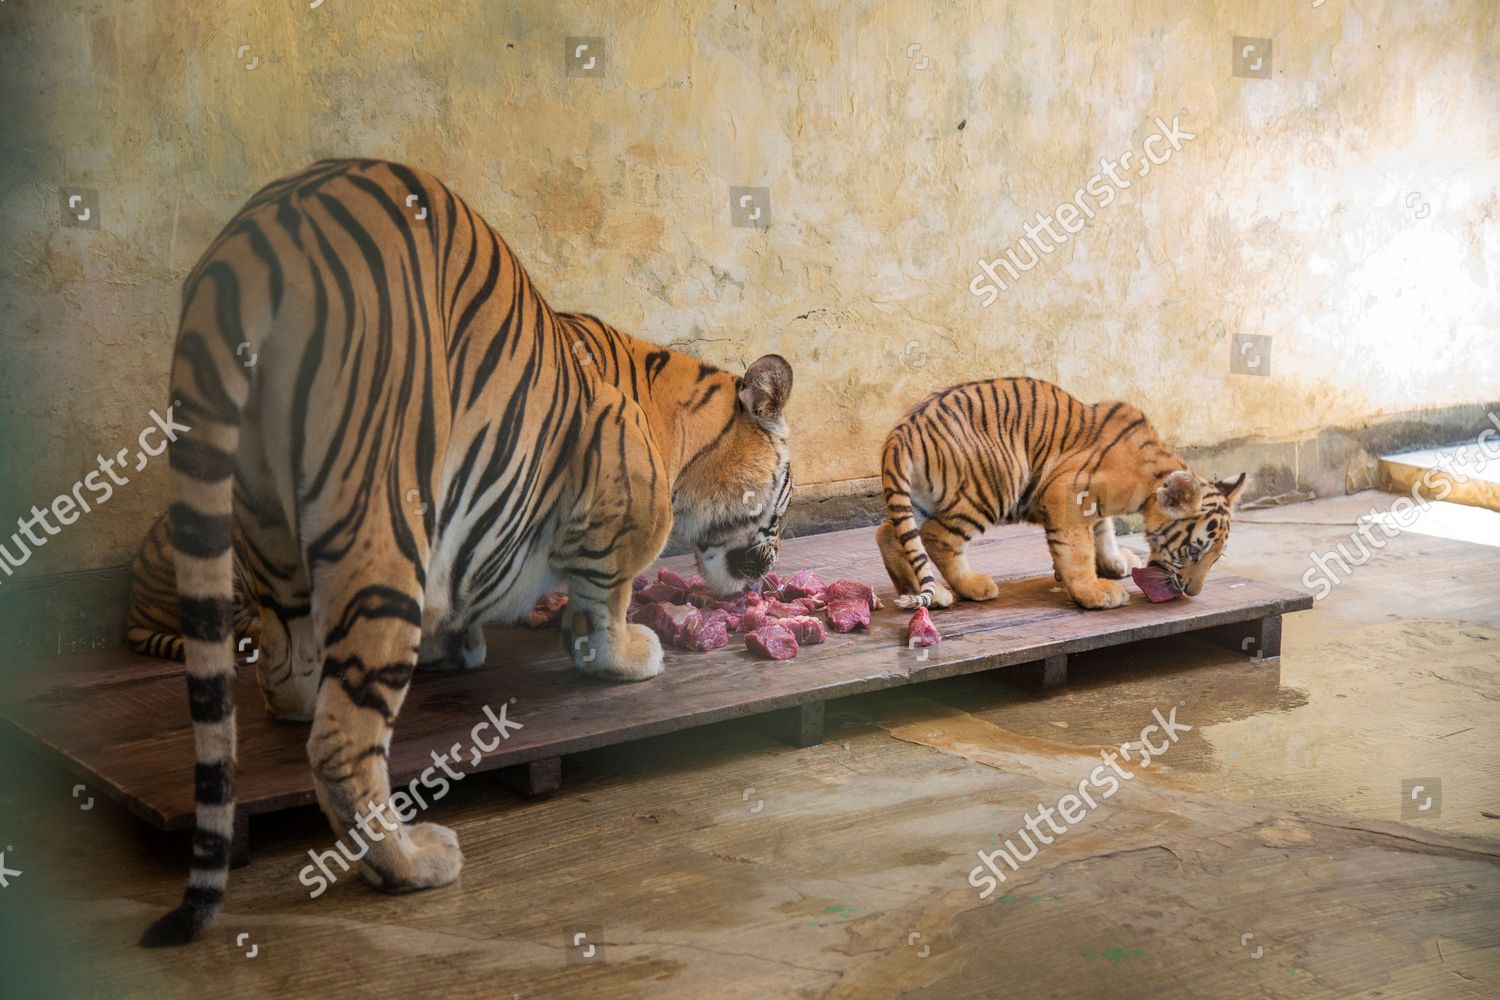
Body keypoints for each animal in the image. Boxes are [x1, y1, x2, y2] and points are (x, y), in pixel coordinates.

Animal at [141, 158, 795, 946]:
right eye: (785, 496)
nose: (776, 562)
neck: (676, 422)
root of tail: (260, 232)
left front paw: (463, 646)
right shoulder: (622, 511)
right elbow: (607, 595)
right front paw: (625, 656)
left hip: (264, 520)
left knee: (285, 667)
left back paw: (303, 704)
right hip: (385, 514)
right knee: (342, 736)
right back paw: (412, 863)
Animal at [877, 377, 1245, 611]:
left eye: (1216, 558)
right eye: (1193, 552)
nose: (1192, 592)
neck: (1151, 482)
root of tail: (901, 432)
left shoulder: (1093, 503)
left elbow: (1103, 530)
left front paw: (1114, 562)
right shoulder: (1066, 491)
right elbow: (1077, 549)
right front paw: (1094, 591)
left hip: (918, 499)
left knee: (891, 534)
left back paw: (928, 591)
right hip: (996, 483)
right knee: (938, 537)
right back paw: (973, 586)